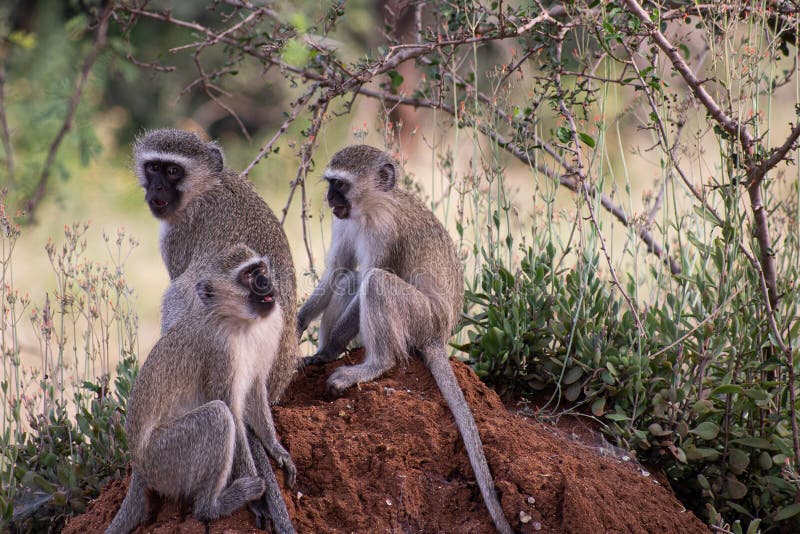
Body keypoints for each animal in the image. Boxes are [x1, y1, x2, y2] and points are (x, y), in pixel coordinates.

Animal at [106, 244, 296, 534]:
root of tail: (138, 465)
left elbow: (254, 391)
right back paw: (215, 505)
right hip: (164, 458)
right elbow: (231, 411)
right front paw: (259, 500)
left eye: (261, 269)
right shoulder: (220, 353)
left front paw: (275, 448)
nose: (267, 281)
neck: (241, 323)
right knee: (217, 416)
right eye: (248, 276)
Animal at [297, 145, 514, 534]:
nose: (330, 199)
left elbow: (371, 275)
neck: (372, 207)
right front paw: (301, 330)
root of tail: (440, 334)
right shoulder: (345, 222)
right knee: (350, 278)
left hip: (419, 318)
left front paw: (328, 351)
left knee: (375, 283)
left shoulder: (385, 232)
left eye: (340, 185)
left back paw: (371, 366)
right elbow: (336, 271)